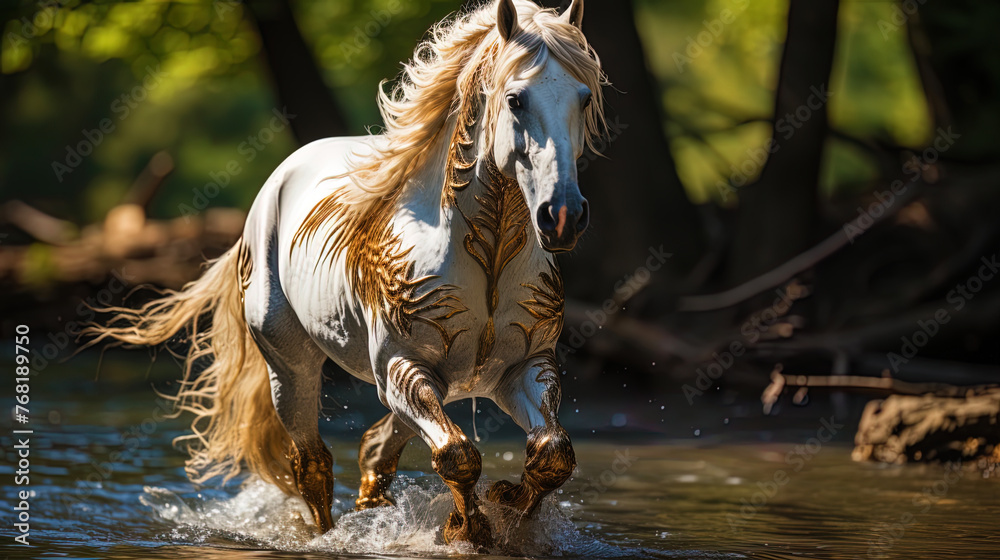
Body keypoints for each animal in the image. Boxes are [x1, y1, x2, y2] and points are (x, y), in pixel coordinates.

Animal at [87, 0, 607, 550]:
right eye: (515, 98)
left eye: (584, 97)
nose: (563, 216)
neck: (487, 260)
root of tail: (277, 181)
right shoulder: (402, 366)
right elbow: (457, 455)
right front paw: (468, 528)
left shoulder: (524, 368)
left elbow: (552, 454)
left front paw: (508, 509)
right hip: (293, 366)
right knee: (312, 463)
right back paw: (327, 532)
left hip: (436, 385)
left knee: (376, 448)